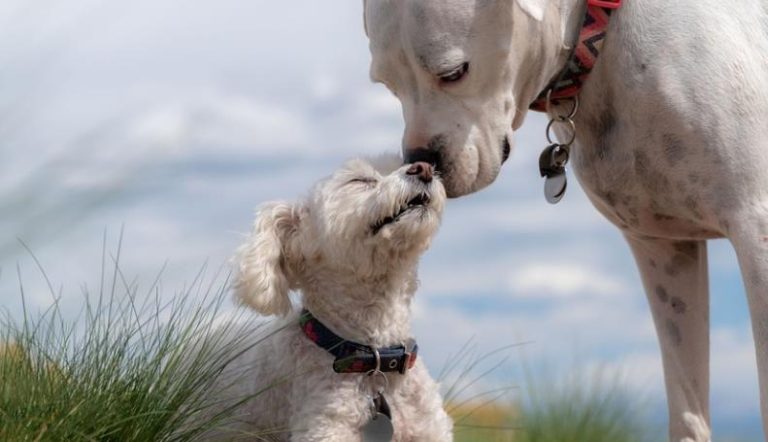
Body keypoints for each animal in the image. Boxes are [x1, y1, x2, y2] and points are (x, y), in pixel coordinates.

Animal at [364, 0, 768, 442]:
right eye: (387, 84)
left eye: (454, 73)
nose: (421, 161)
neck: (601, 35)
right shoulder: (664, 251)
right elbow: (687, 409)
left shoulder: (756, 231)